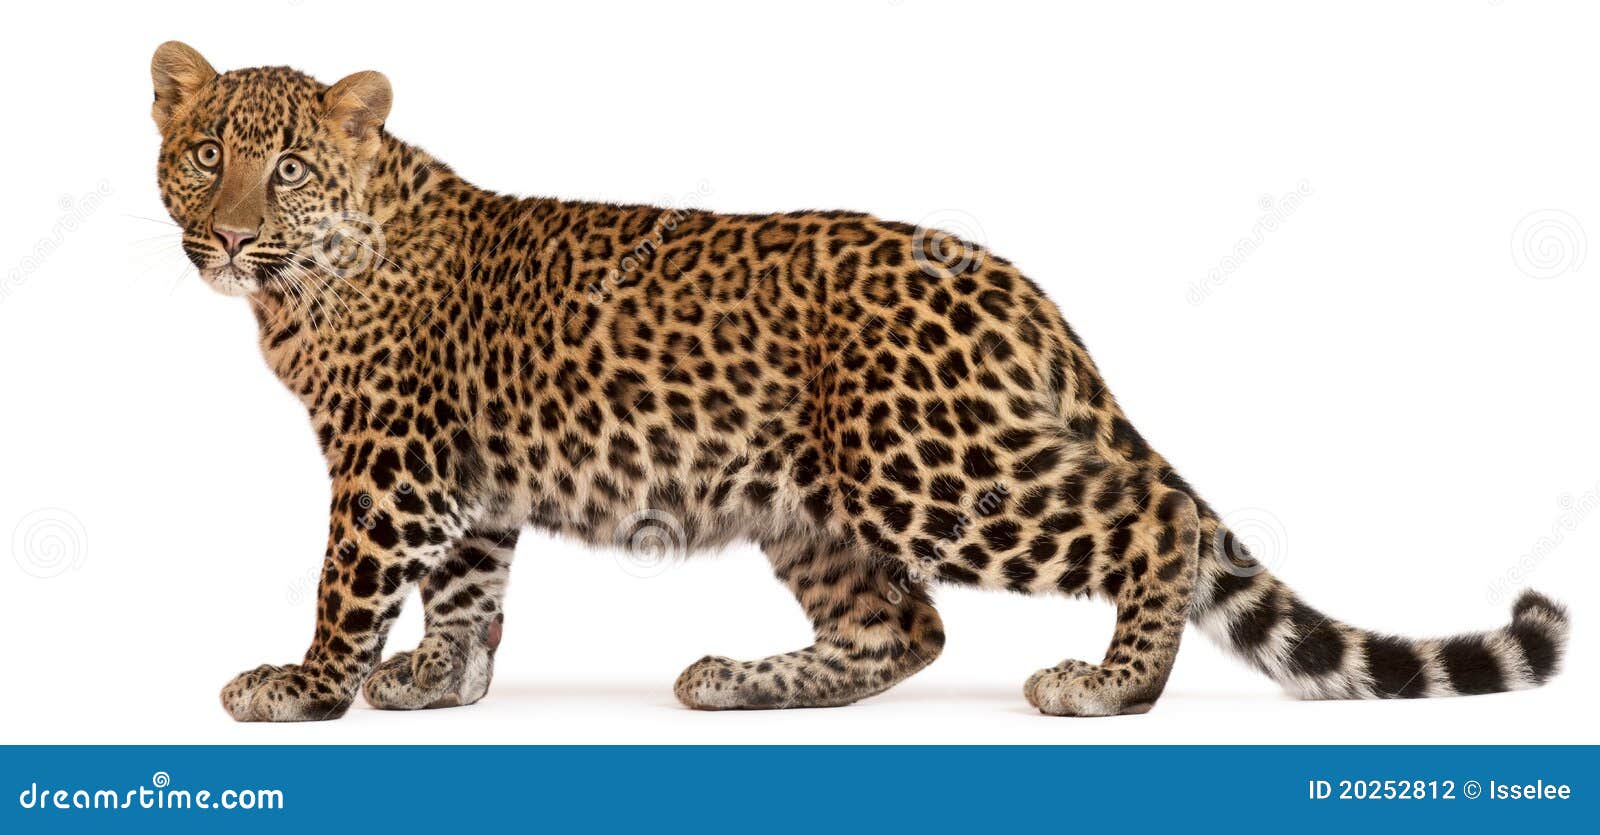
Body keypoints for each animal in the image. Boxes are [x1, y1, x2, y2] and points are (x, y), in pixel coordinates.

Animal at [148, 41, 1571, 721]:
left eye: (285, 167)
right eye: (206, 151)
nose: (225, 235)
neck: (303, 282)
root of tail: (1014, 285)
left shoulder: (389, 463)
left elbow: (350, 583)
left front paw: (304, 686)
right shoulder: (465, 470)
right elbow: (465, 592)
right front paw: (437, 682)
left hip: (931, 470)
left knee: (1151, 517)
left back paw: (1110, 687)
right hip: (809, 500)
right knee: (903, 626)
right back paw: (737, 680)